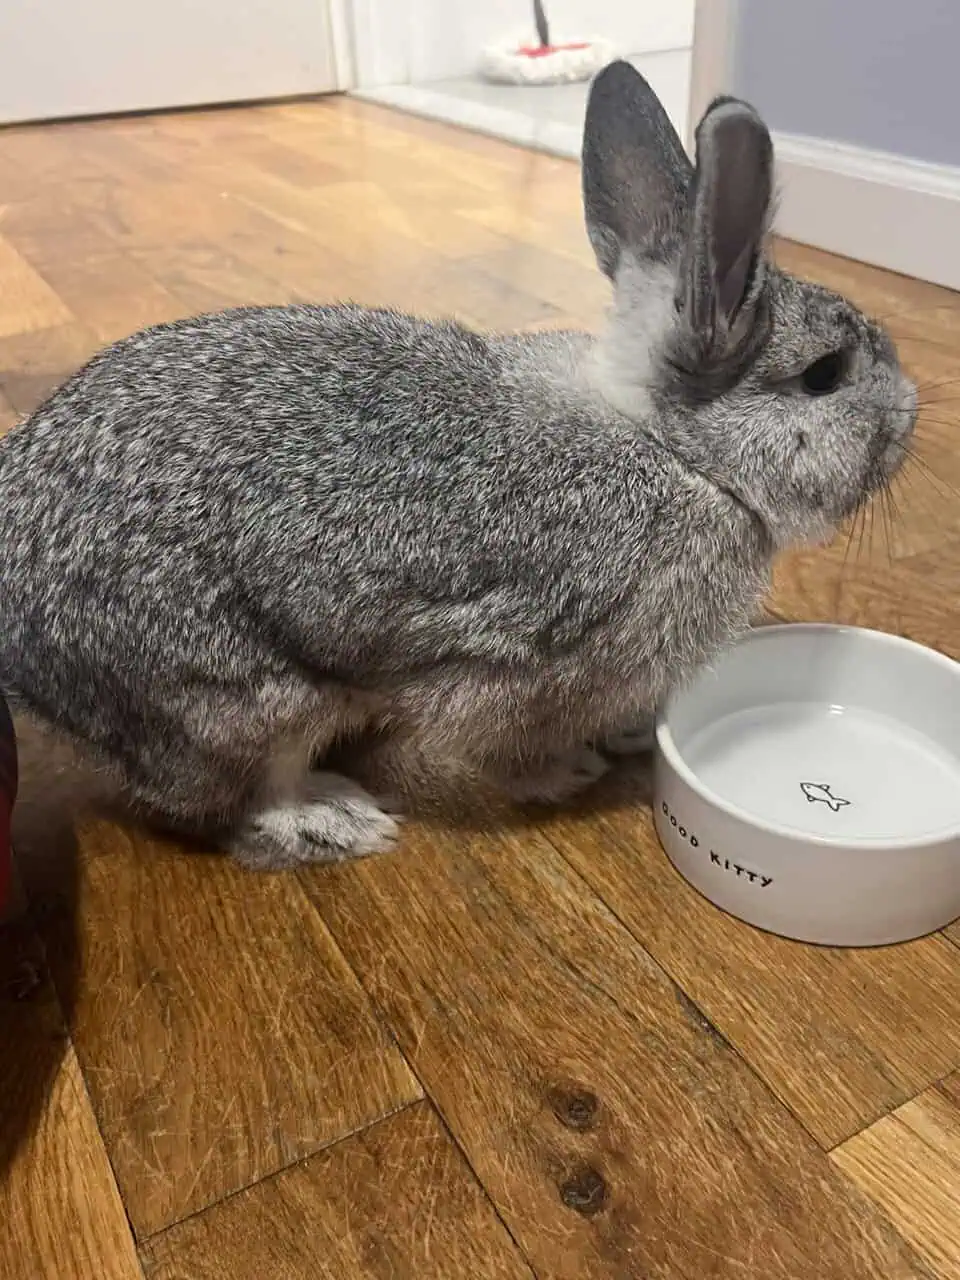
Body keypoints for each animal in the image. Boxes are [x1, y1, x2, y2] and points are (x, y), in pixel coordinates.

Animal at [0, 61, 916, 870]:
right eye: (825, 374)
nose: (911, 410)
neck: (676, 448)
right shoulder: (520, 670)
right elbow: (506, 745)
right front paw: (571, 769)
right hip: (240, 701)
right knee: (227, 801)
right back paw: (334, 820)